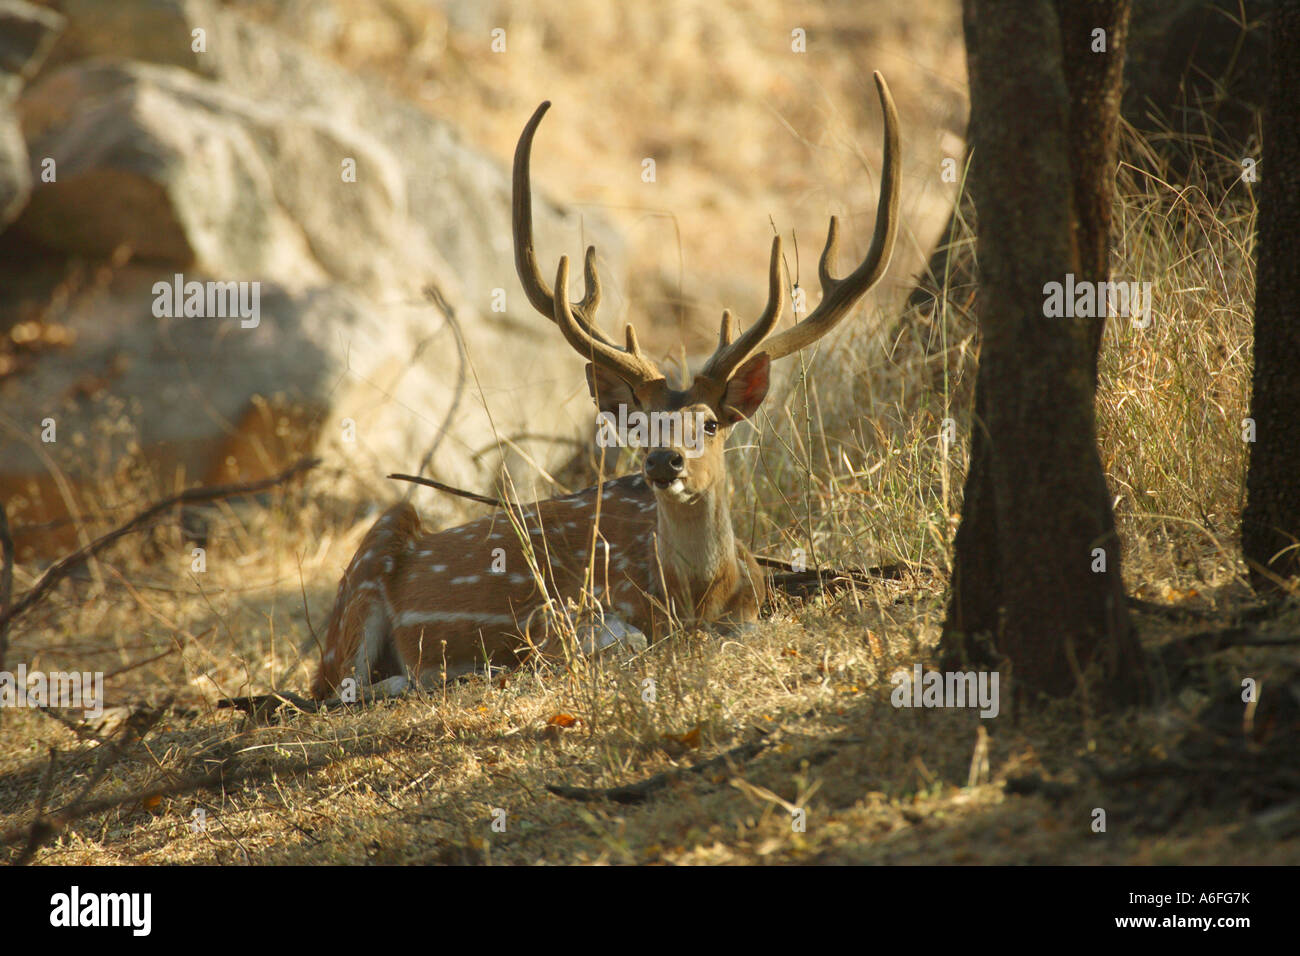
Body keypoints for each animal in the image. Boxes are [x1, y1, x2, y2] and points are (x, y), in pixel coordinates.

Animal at [310, 72, 900, 702]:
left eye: (710, 422)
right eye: (639, 423)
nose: (663, 462)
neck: (696, 598)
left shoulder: (750, 604)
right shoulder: (560, 614)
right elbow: (624, 638)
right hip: (370, 562)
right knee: (340, 689)